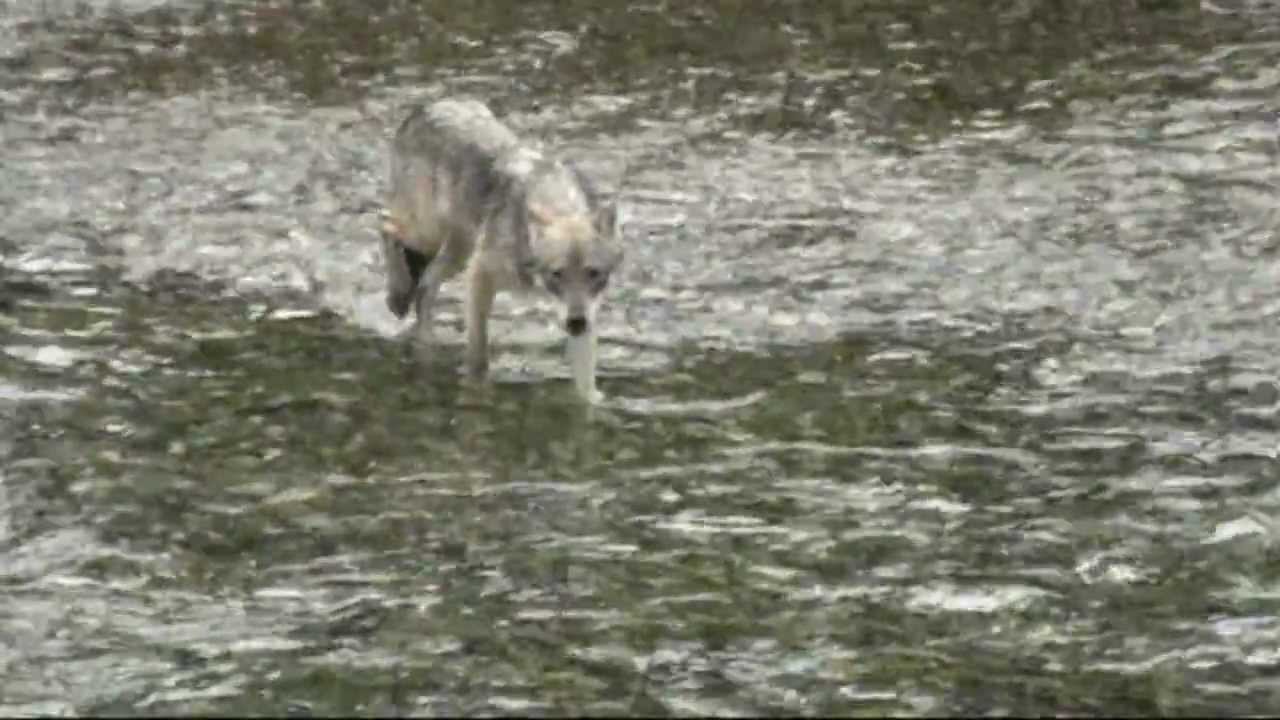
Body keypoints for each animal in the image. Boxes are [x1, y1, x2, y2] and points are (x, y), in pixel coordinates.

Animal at [379, 98, 623, 401]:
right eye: (557, 274)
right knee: (386, 226)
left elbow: (586, 385)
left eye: (593, 273)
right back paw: (398, 297)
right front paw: (476, 385)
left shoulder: (588, 314)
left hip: (457, 252)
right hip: (431, 237)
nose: (576, 323)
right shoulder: (479, 277)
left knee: (425, 287)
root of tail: (426, 107)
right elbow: (478, 351)